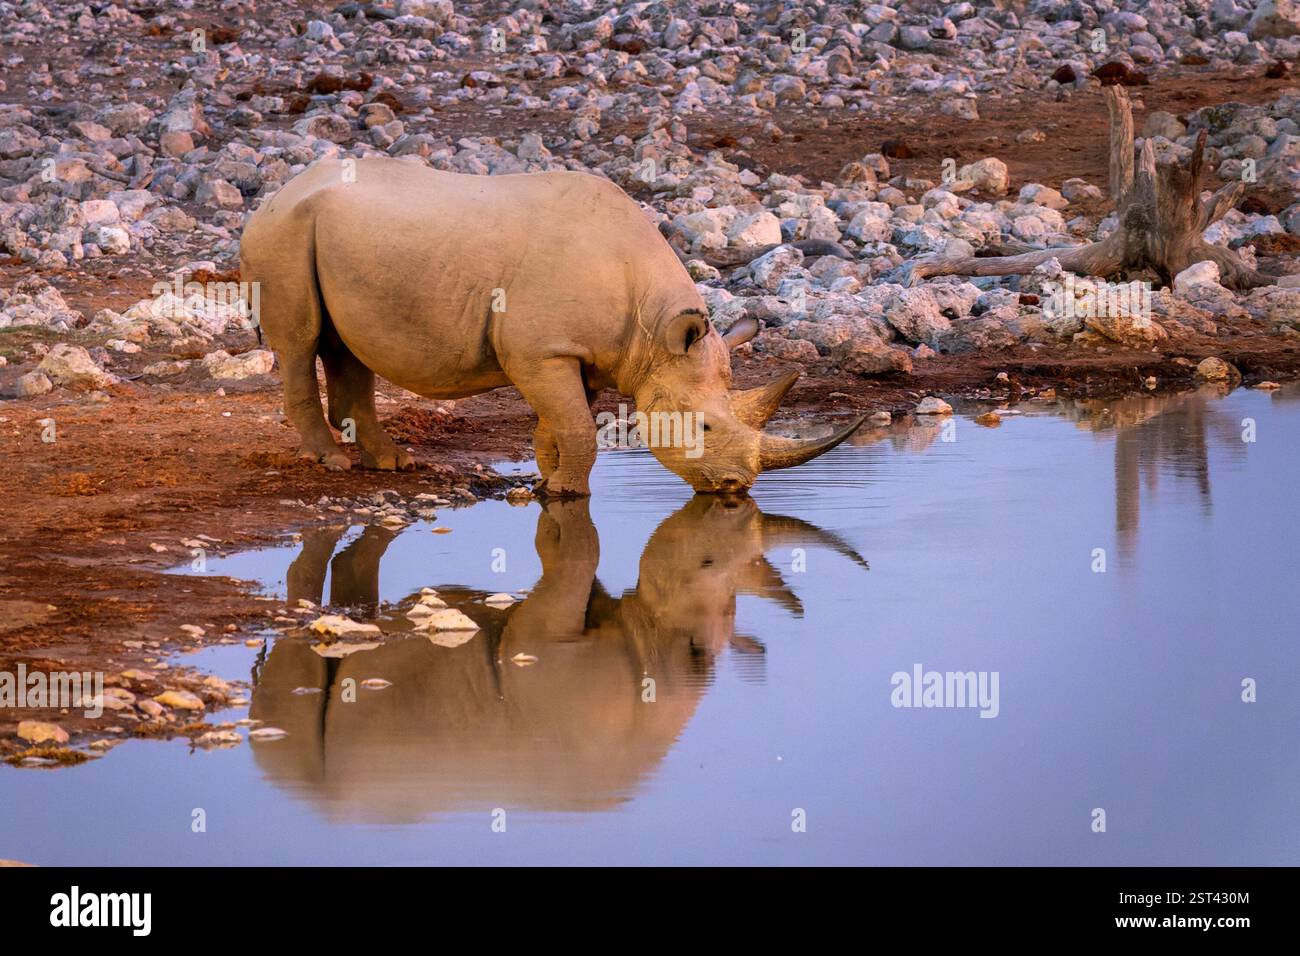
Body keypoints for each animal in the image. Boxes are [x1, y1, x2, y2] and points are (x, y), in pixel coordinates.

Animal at [240, 158, 862, 494]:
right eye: (705, 427)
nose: (736, 489)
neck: (654, 335)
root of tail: (273, 197)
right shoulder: (543, 351)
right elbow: (578, 427)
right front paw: (567, 493)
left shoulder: (581, 355)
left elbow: (560, 424)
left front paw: (548, 483)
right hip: (284, 234)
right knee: (299, 343)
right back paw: (333, 462)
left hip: (328, 235)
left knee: (346, 347)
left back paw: (392, 462)